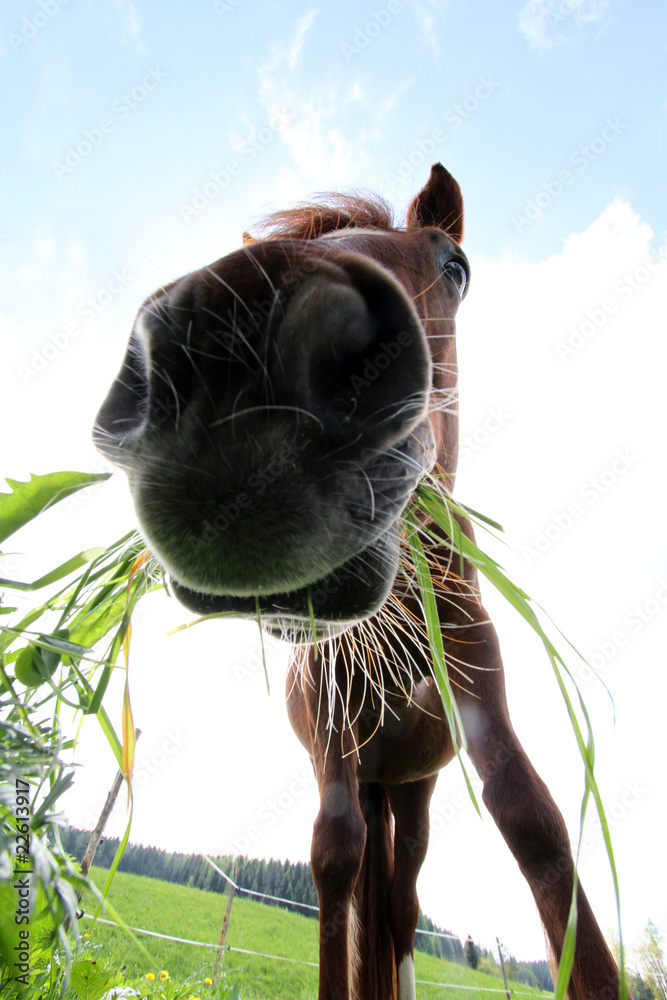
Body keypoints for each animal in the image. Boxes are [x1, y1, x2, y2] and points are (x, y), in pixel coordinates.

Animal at [94, 163, 623, 1000]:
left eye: (455, 268)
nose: (243, 348)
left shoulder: (477, 688)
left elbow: (531, 819)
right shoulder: (330, 729)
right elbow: (333, 859)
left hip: (412, 787)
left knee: (402, 900)